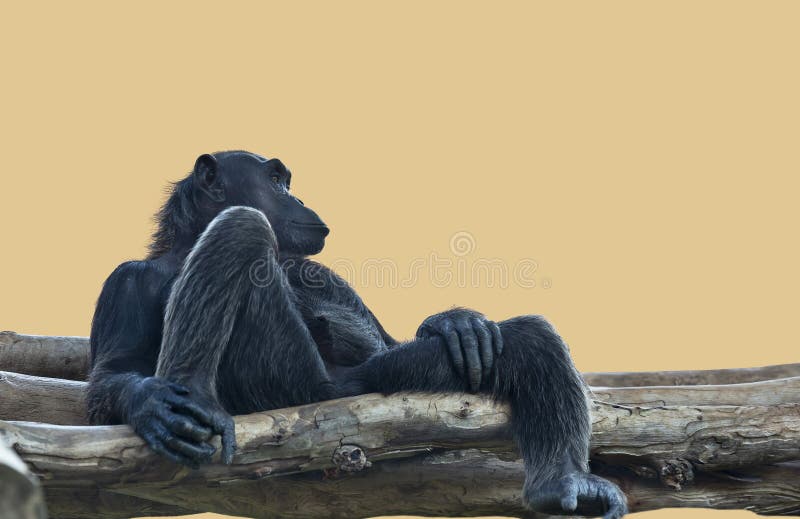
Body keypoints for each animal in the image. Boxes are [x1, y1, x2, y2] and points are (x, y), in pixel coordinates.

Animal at [87, 151, 627, 518]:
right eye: (275, 180)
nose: (298, 196)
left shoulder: (326, 275)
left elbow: (384, 336)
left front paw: (455, 320)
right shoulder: (125, 283)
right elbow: (108, 379)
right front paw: (151, 403)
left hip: (366, 382)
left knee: (524, 341)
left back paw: (563, 484)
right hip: (288, 382)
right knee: (244, 224)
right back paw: (190, 401)